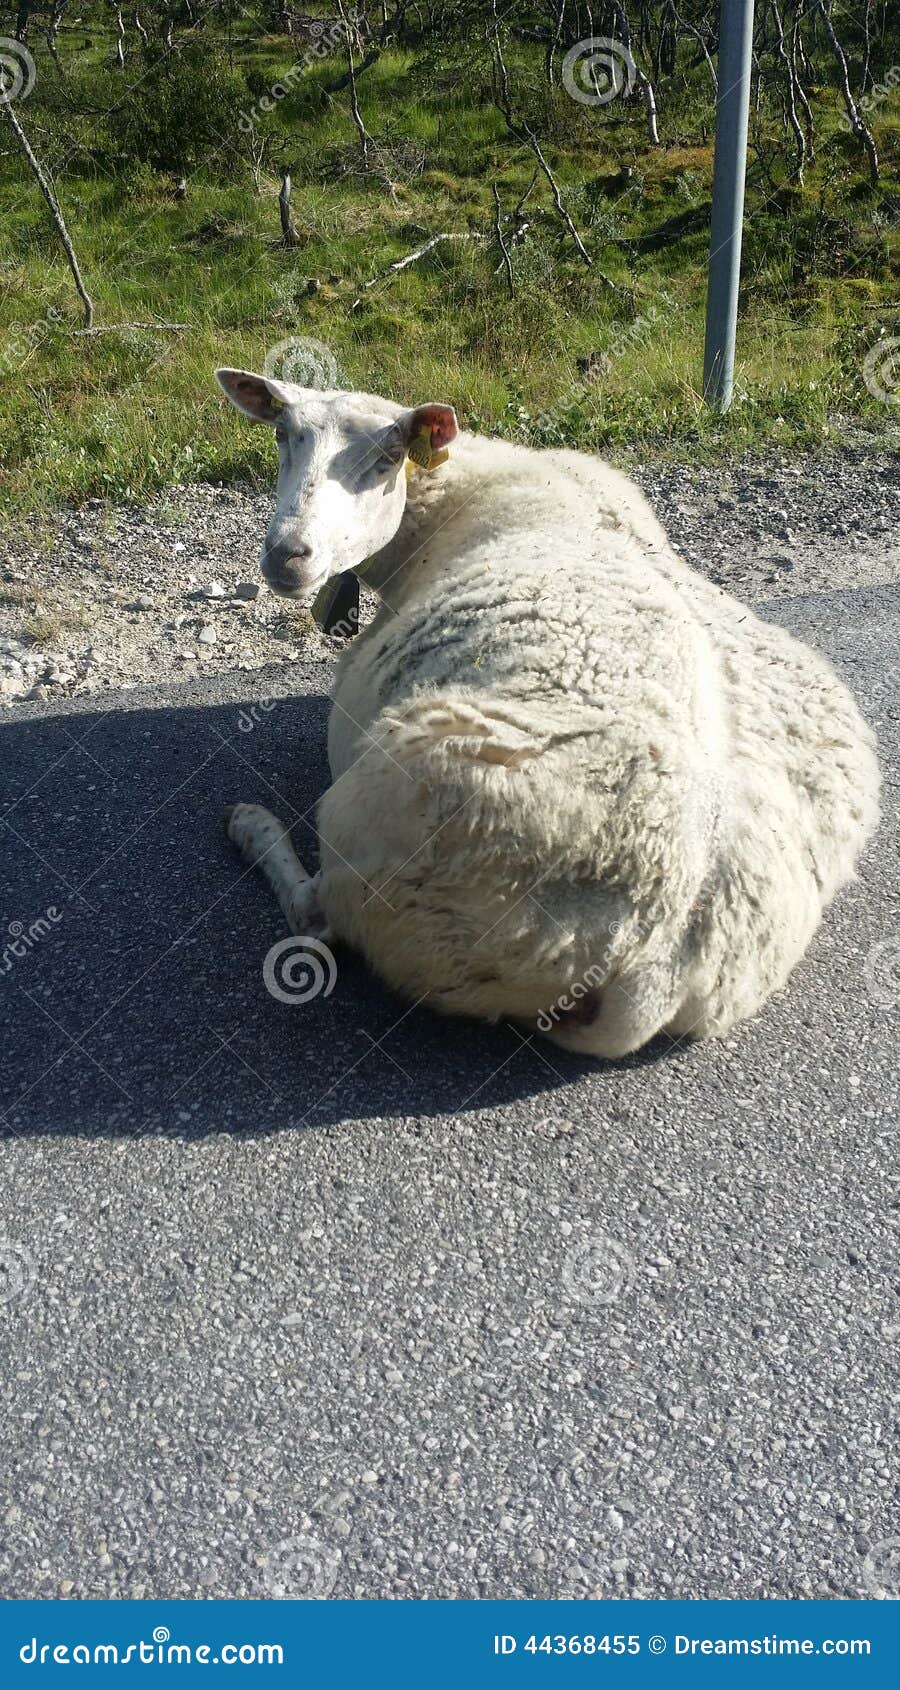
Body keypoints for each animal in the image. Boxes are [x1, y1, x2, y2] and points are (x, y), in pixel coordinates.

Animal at [216, 369, 880, 1058]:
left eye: (387, 457)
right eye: (284, 435)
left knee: (316, 919)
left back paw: (252, 825)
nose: (288, 555)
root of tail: (656, 968)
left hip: (382, 825)